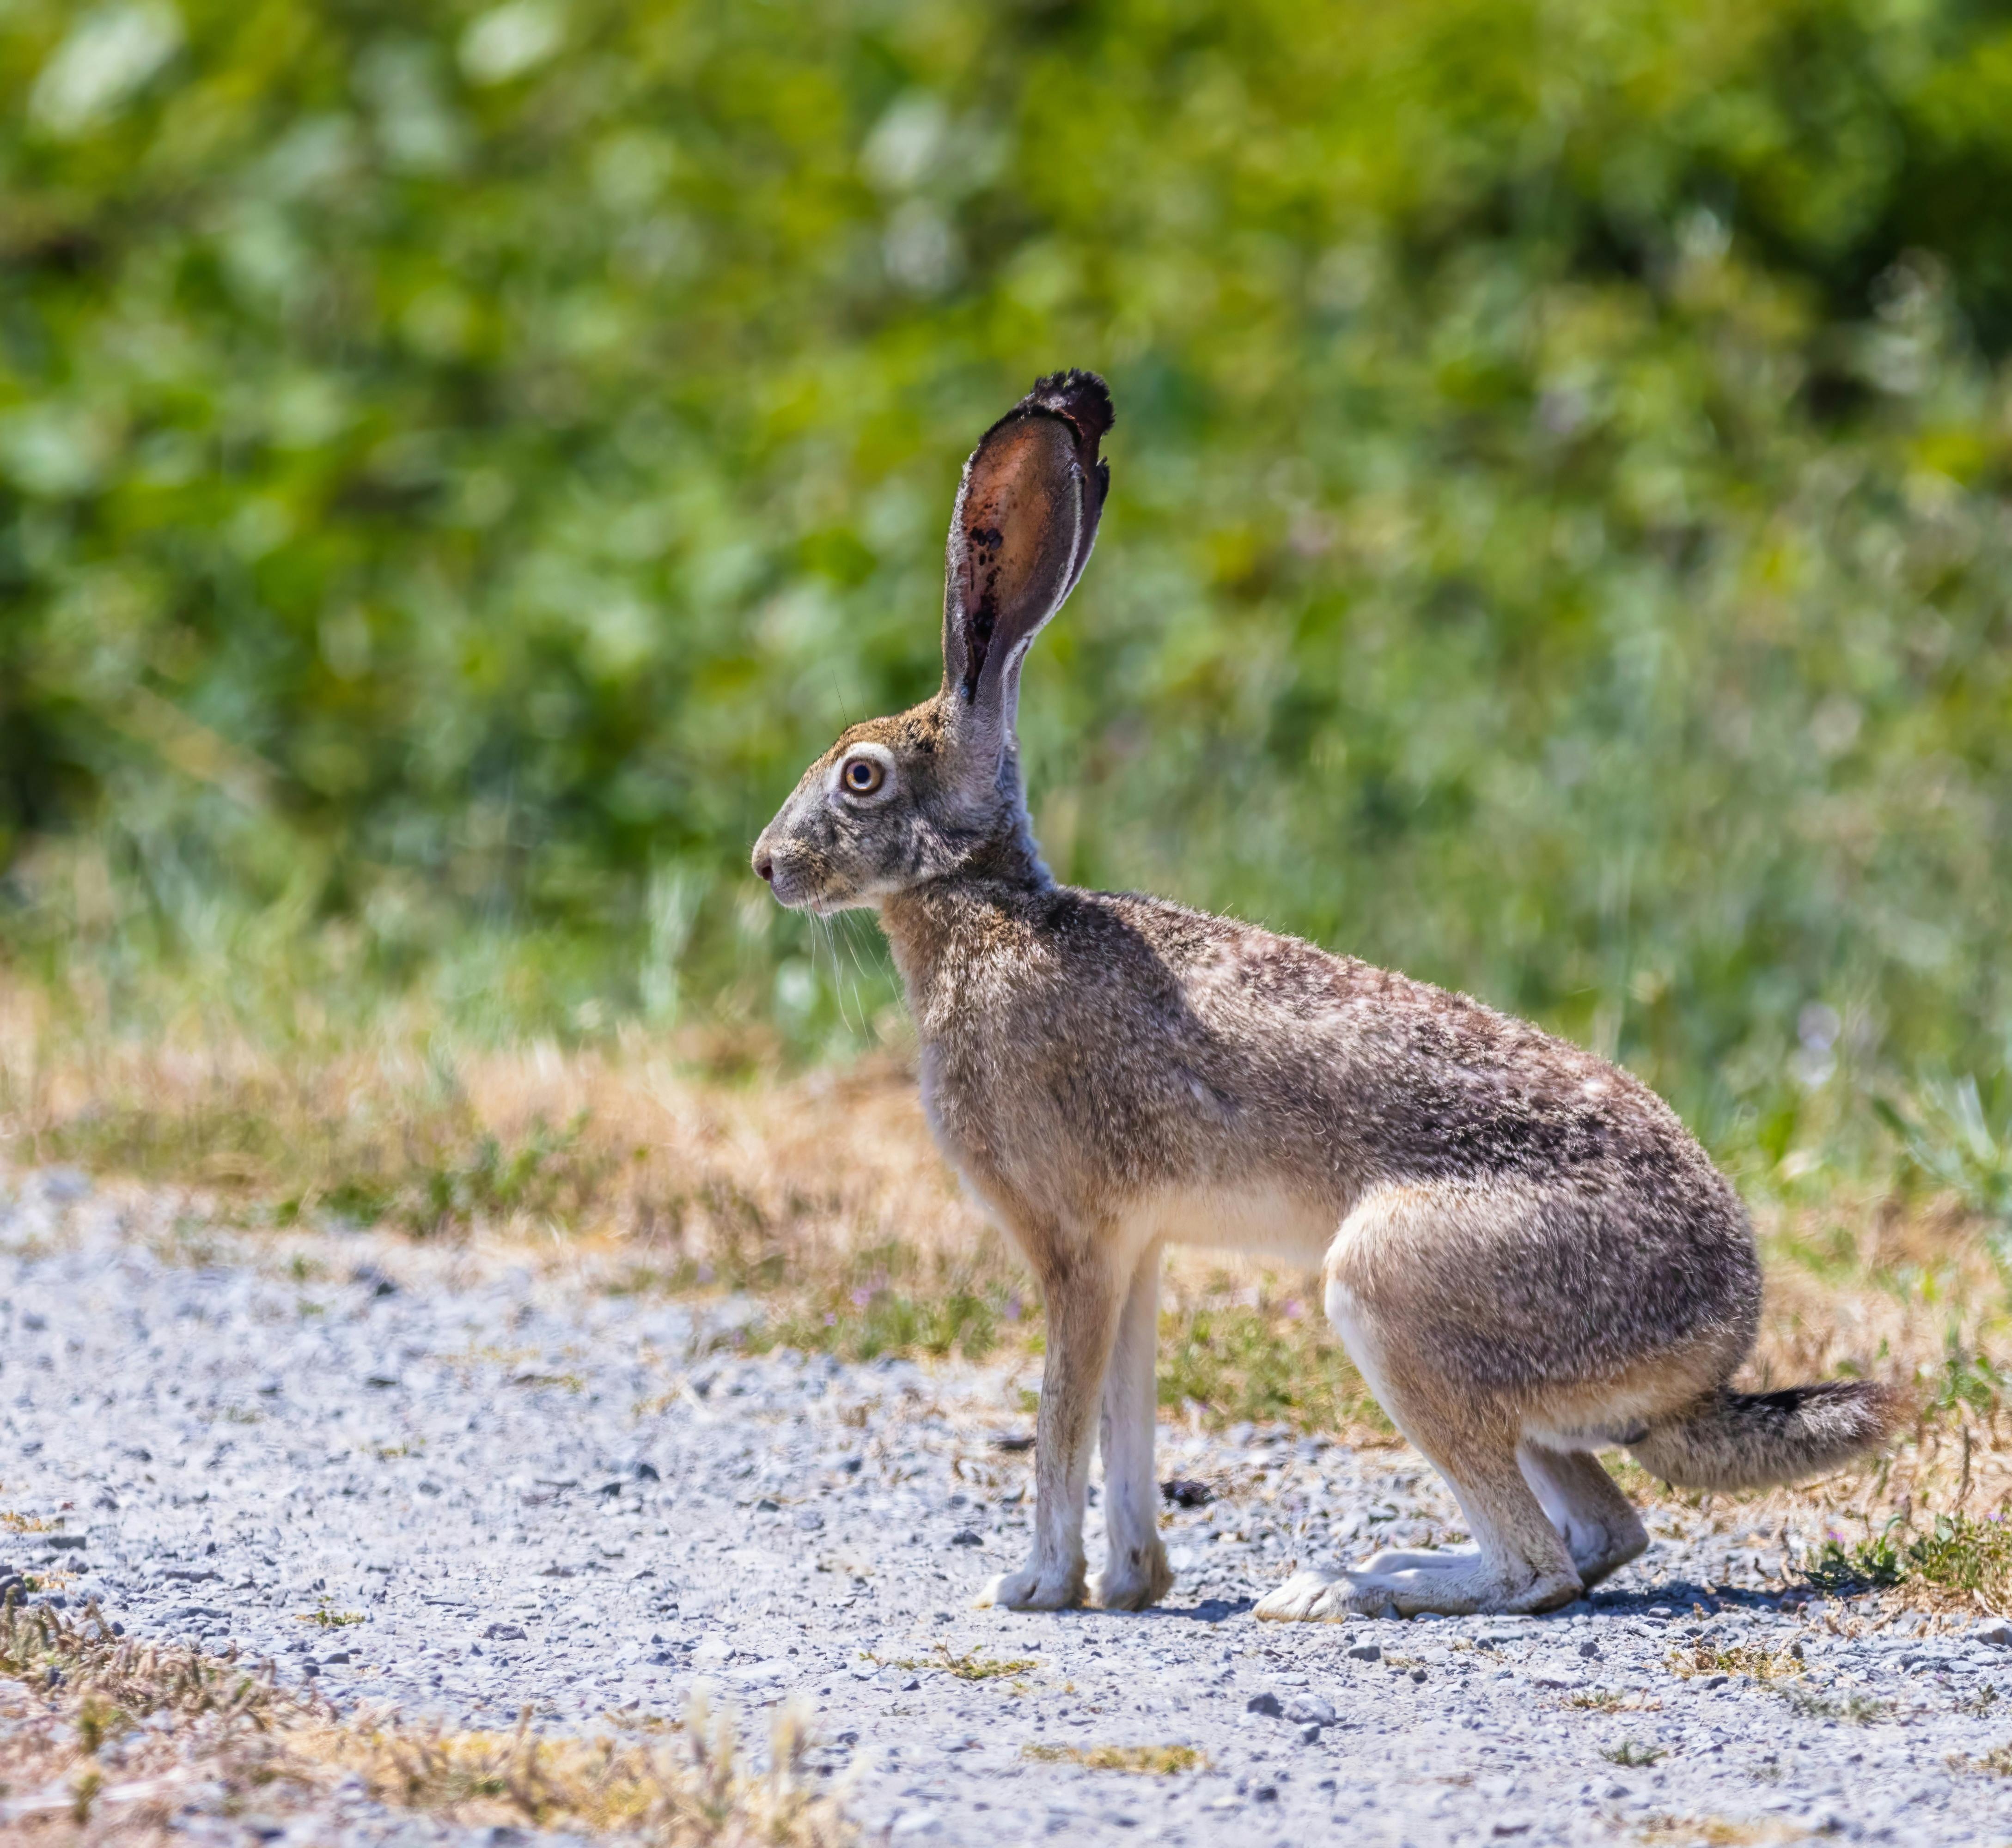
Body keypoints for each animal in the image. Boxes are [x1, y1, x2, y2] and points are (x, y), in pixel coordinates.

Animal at [751, 369, 1902, 1618]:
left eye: (860, 776)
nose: (766, 866)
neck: (984, 905)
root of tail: (1709, 1353)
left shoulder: (1072, 1237)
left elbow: (1061, 1417)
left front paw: (1035, 1586)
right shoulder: (1135, 1248)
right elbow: (1123, 1414)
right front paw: (1135, 1579)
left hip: (1393, 1293)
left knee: (1536, 1566)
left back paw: (1337, 1588)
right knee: (1605, 1534)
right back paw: (1386, 1565)